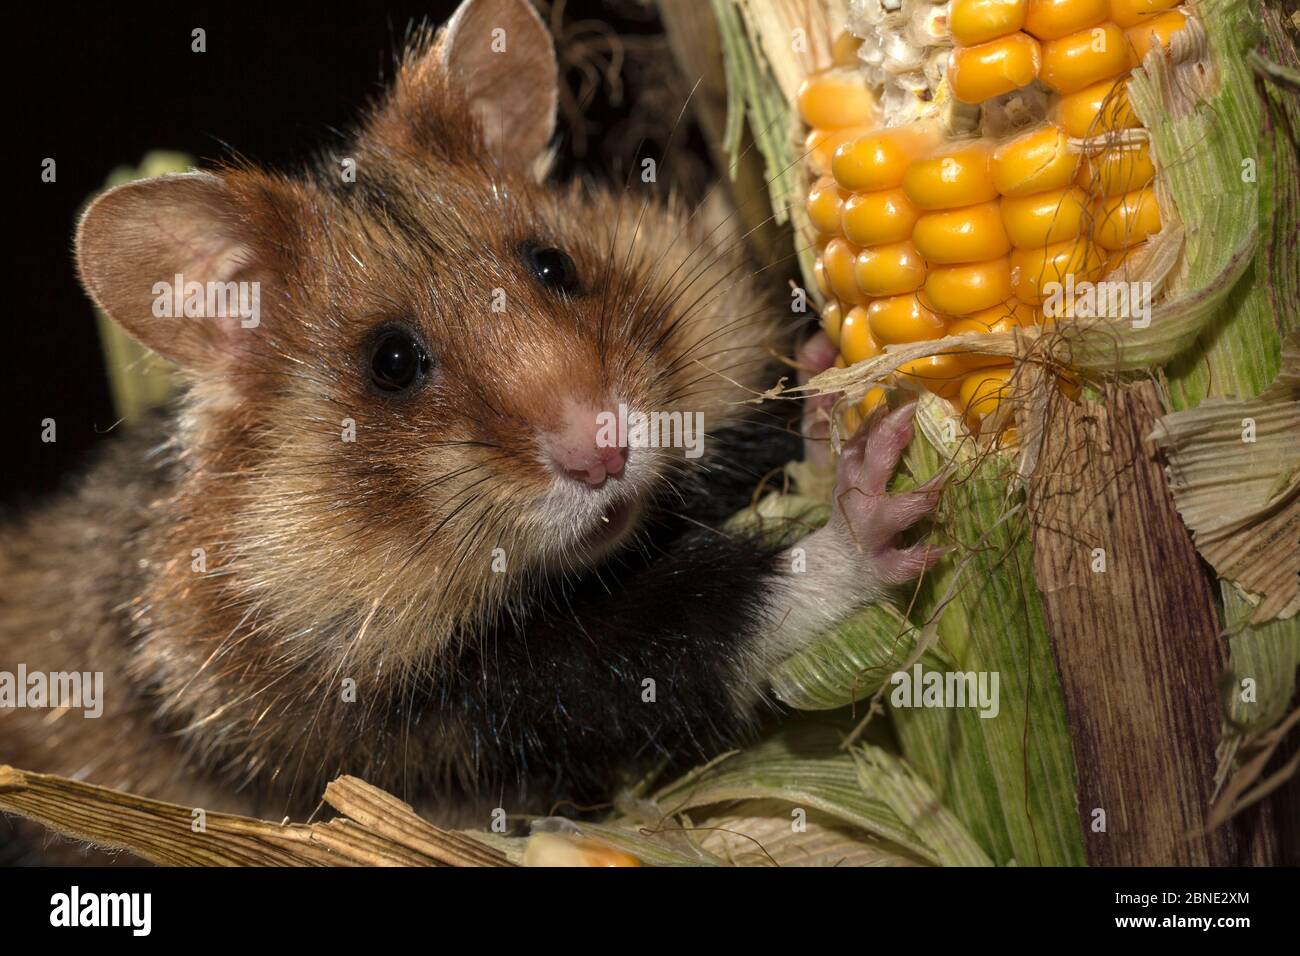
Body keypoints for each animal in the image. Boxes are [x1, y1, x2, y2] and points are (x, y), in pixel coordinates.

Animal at [0, 0, 940, 851]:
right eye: (391, 362)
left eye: (554, 265)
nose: (602, 453)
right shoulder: (430, 717)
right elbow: (698, 624)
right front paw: (877, 503)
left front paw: (831, 395)